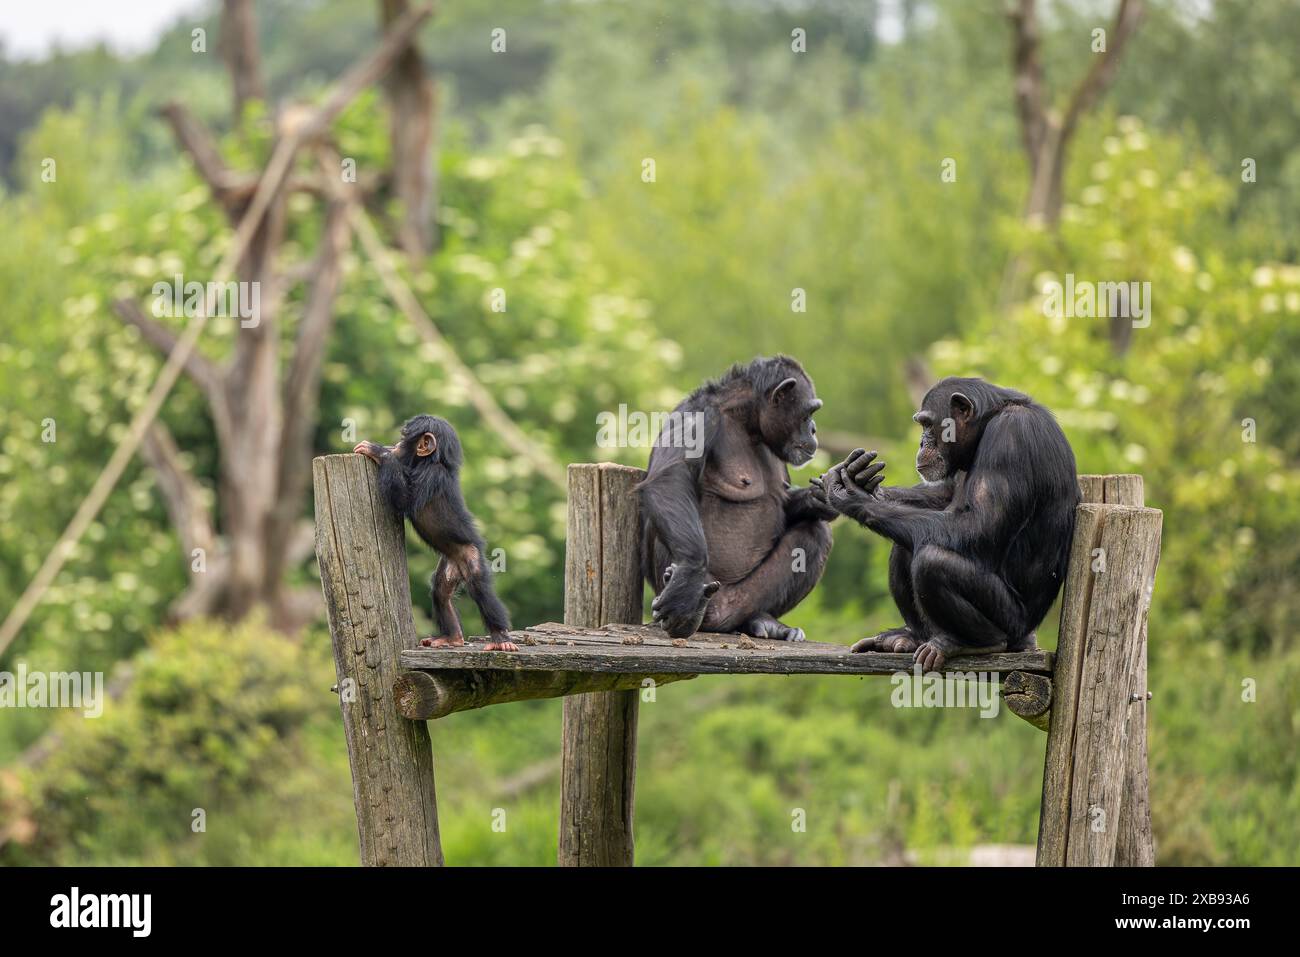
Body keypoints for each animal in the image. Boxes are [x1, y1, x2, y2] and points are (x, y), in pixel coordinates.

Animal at [354, 415, 516, 652]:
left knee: (480, 588)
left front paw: (379, 451)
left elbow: (404, 500)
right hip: (449, 567)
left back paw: (501, 638)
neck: (429, 463)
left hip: (471, 556)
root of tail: (459, 564)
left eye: (403, 438)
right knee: (441, 592)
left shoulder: (432, 476)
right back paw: (452, 638)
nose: (395, 444)